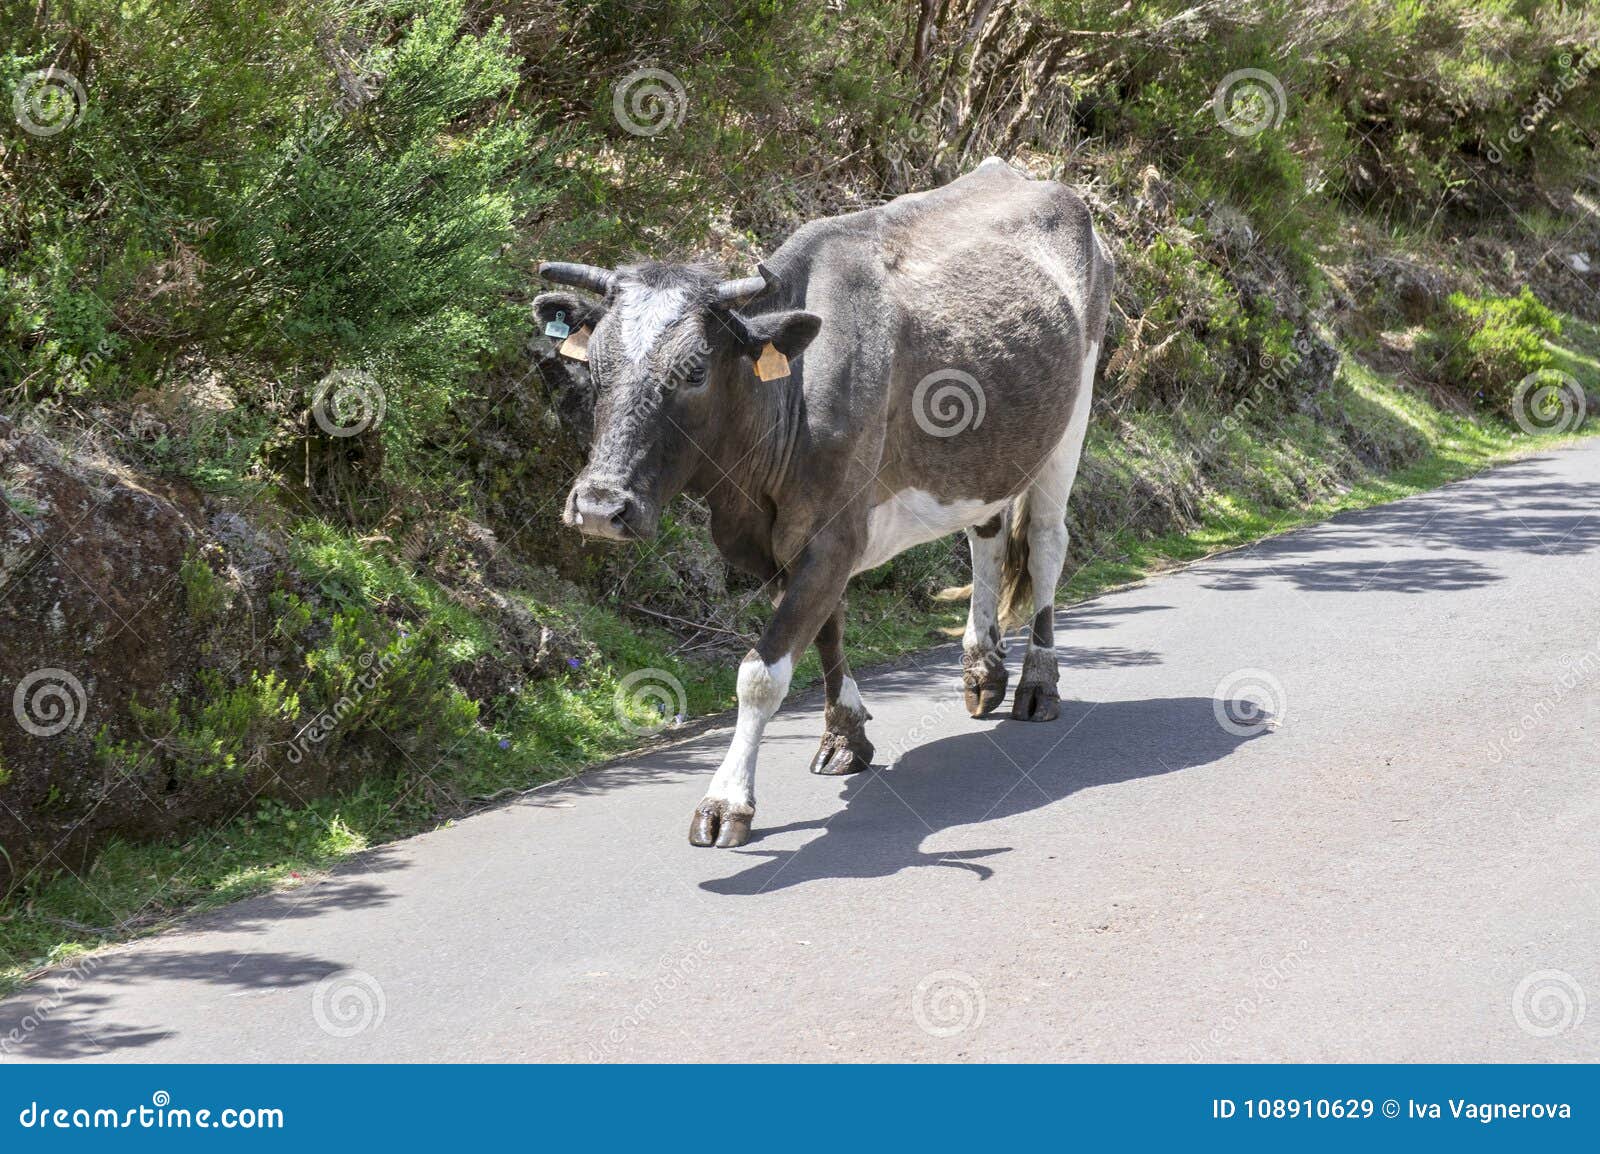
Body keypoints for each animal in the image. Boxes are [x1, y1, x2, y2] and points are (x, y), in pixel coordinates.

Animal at [534, 158, 1114, 848]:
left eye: (695, 370)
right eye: (594, 368)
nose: (599, 507)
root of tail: (1031, 178)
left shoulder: (834, 536)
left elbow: (762, 672)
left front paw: (727, 800)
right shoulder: (787, 544)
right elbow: (828, 635)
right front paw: (845, 736)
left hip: (1074, 410)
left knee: (1049, 542)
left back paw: (1037, 684)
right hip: (993, 450)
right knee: (988, 534)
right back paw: (983, 671)